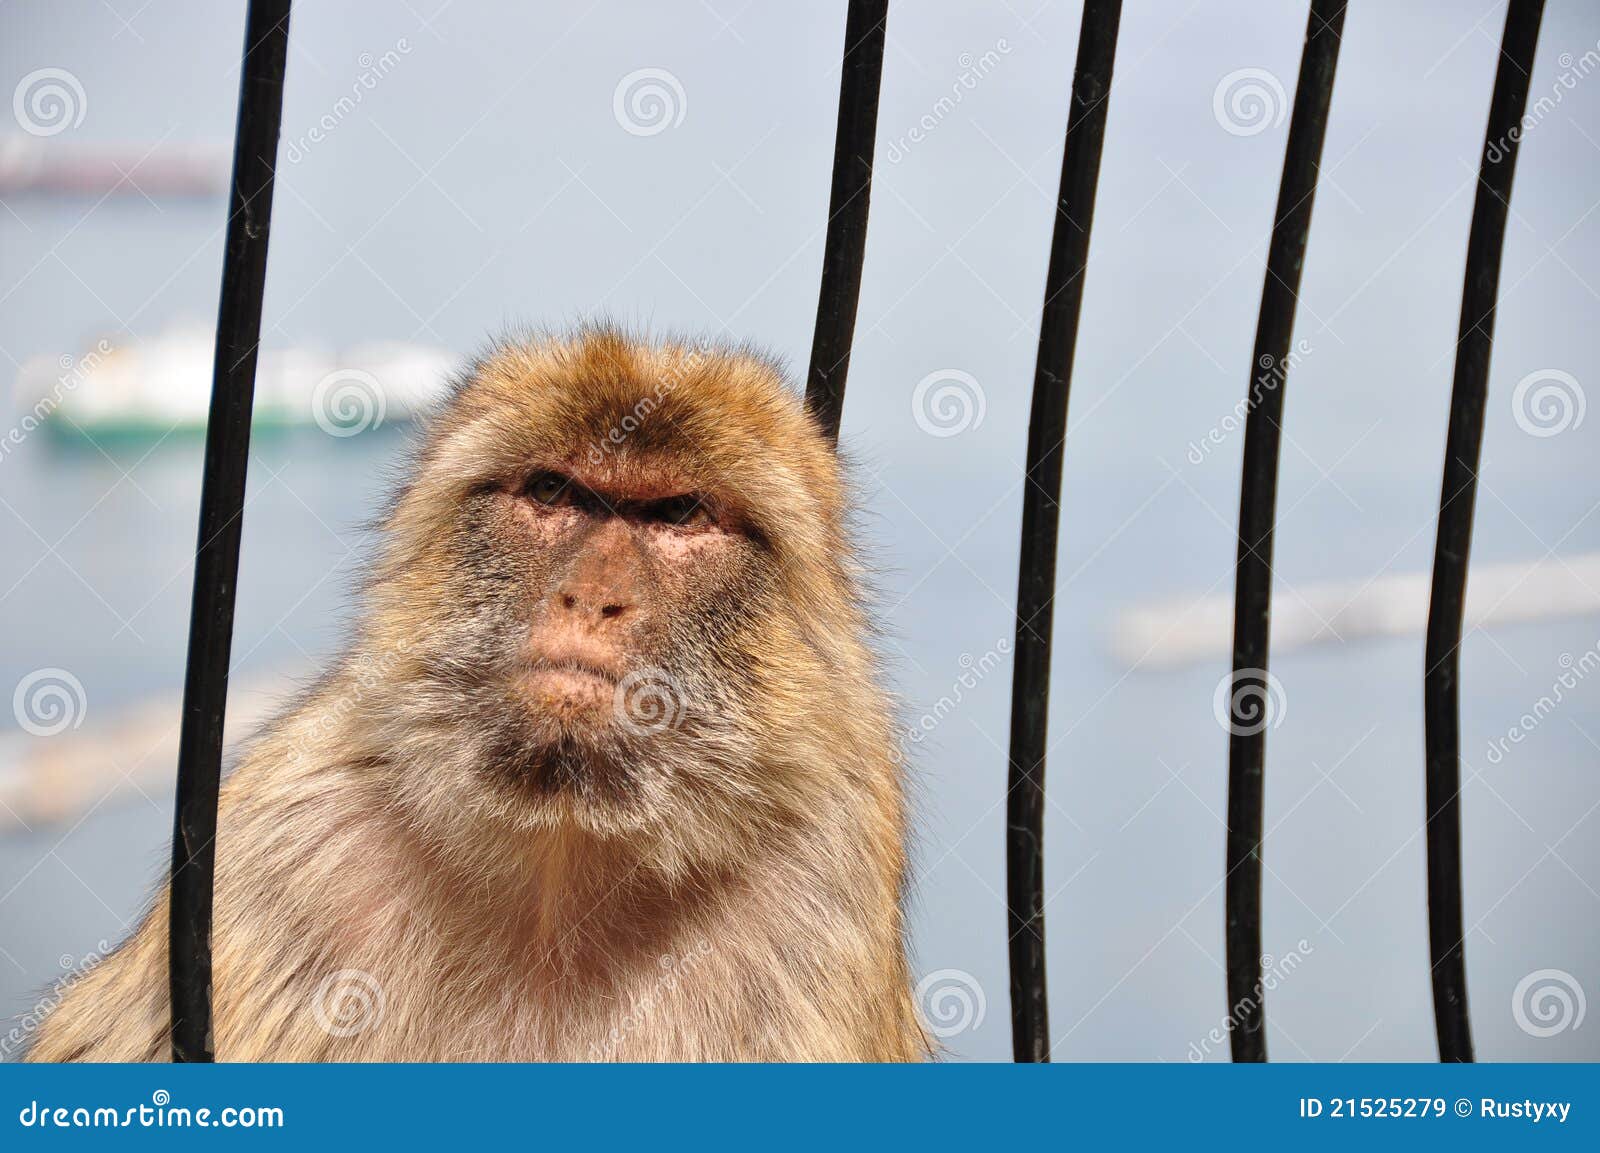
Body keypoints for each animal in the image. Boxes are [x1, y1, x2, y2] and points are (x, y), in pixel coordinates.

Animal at [26, 327, 928, 1062]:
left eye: (679, 512)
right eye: (554, 493)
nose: (591, 596)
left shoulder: (824, 880)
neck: (564, 838)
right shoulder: (282, 842)